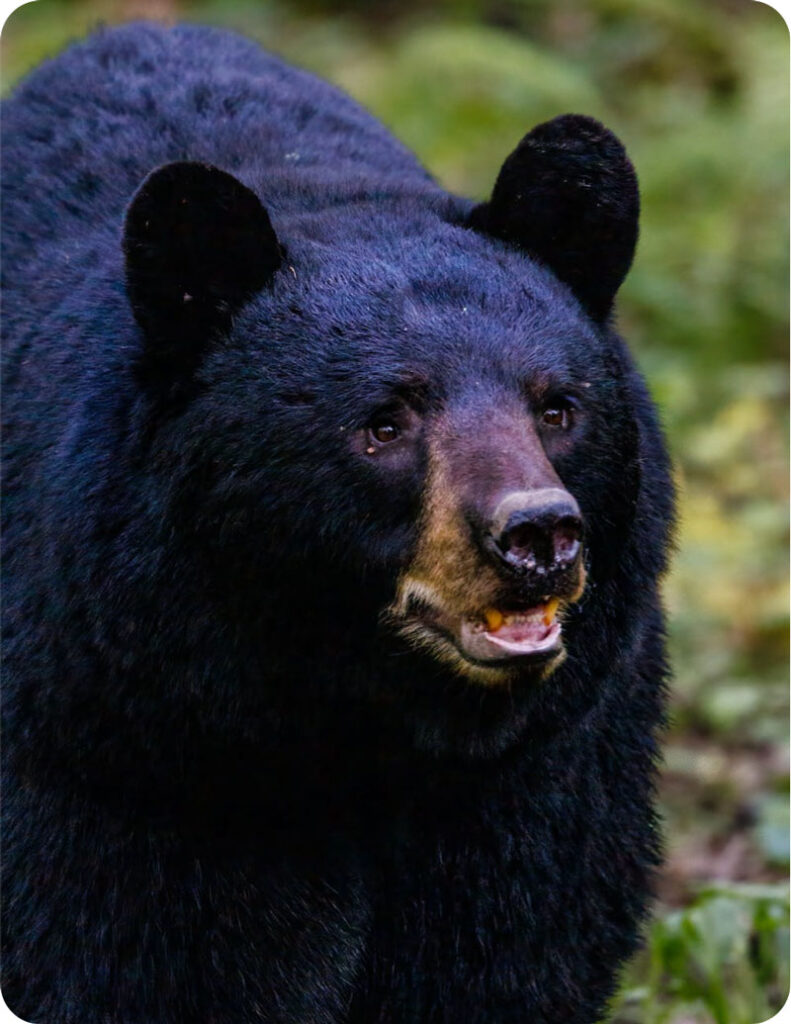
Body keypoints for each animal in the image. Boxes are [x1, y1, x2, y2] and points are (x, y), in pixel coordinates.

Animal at [1, 21, 674, 1024]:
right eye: (383, 424)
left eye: (558, 407)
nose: (537, 536)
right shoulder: (116, 749)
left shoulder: (545, 767)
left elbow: (509, 948)